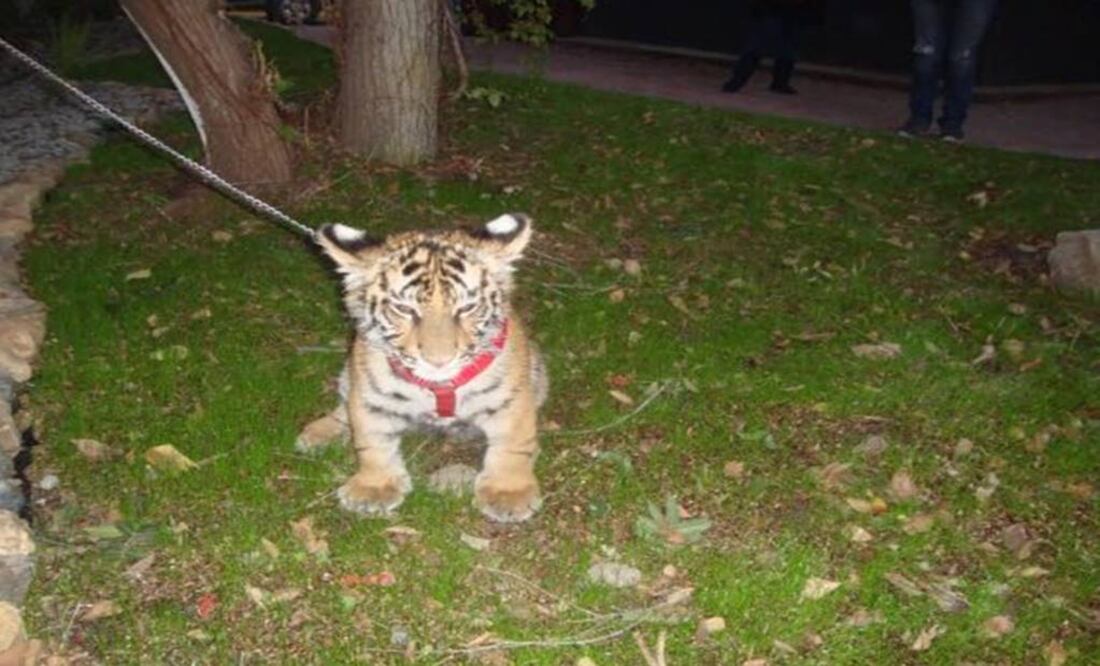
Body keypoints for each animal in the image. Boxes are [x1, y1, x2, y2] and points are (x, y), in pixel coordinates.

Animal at [296, 213, 548, 523]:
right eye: (404, 310)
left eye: (467, 308)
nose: (438, 360)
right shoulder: (370, 395)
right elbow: (372, 441)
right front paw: (373, 488)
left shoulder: (512, 399)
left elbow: (513, 443)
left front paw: (508, 494)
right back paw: (317, 434)